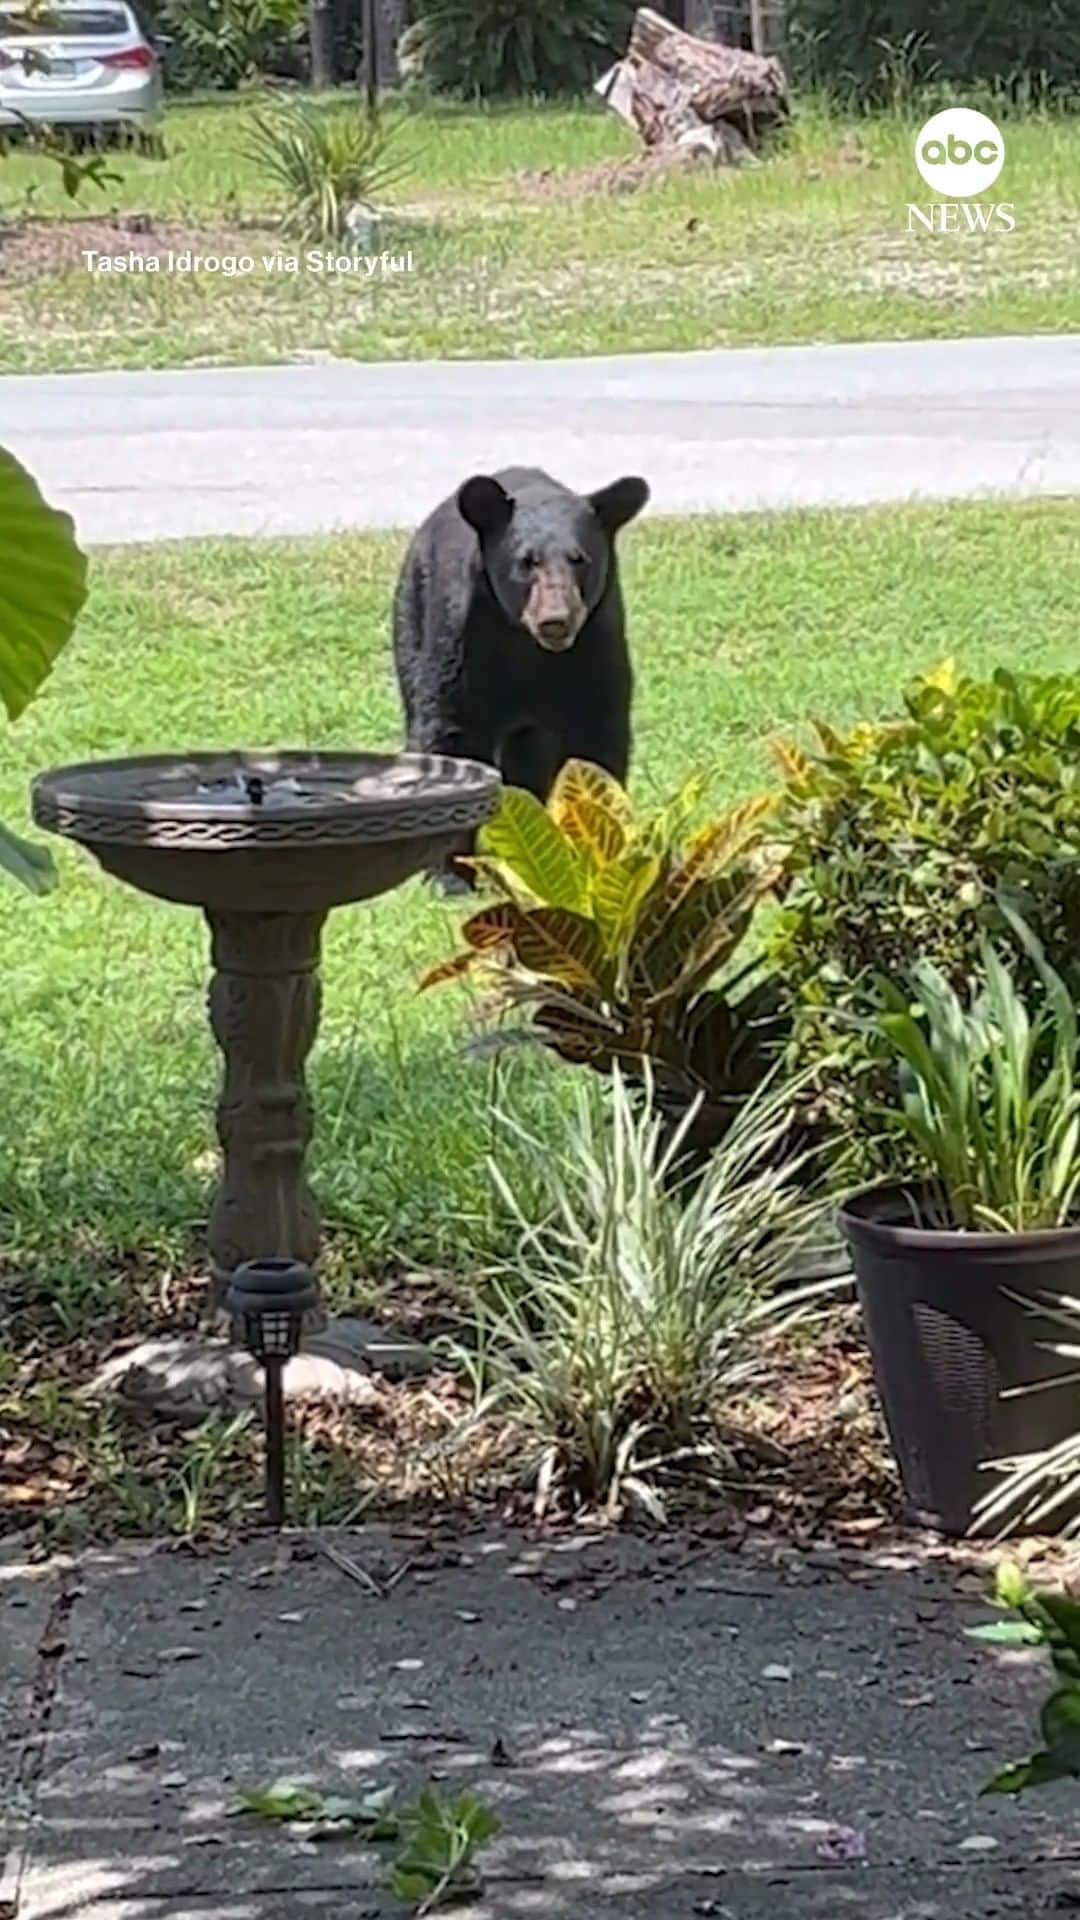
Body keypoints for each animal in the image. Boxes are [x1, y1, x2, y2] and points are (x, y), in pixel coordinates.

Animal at [392, 465, 649, 888]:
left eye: (579, 558)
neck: (527, 648)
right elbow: (449, 729)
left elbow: (596, 740)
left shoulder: (596, 648)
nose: (555, 620)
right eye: (527, 561)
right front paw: (449, 875)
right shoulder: (463, 638)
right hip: (411, 612)